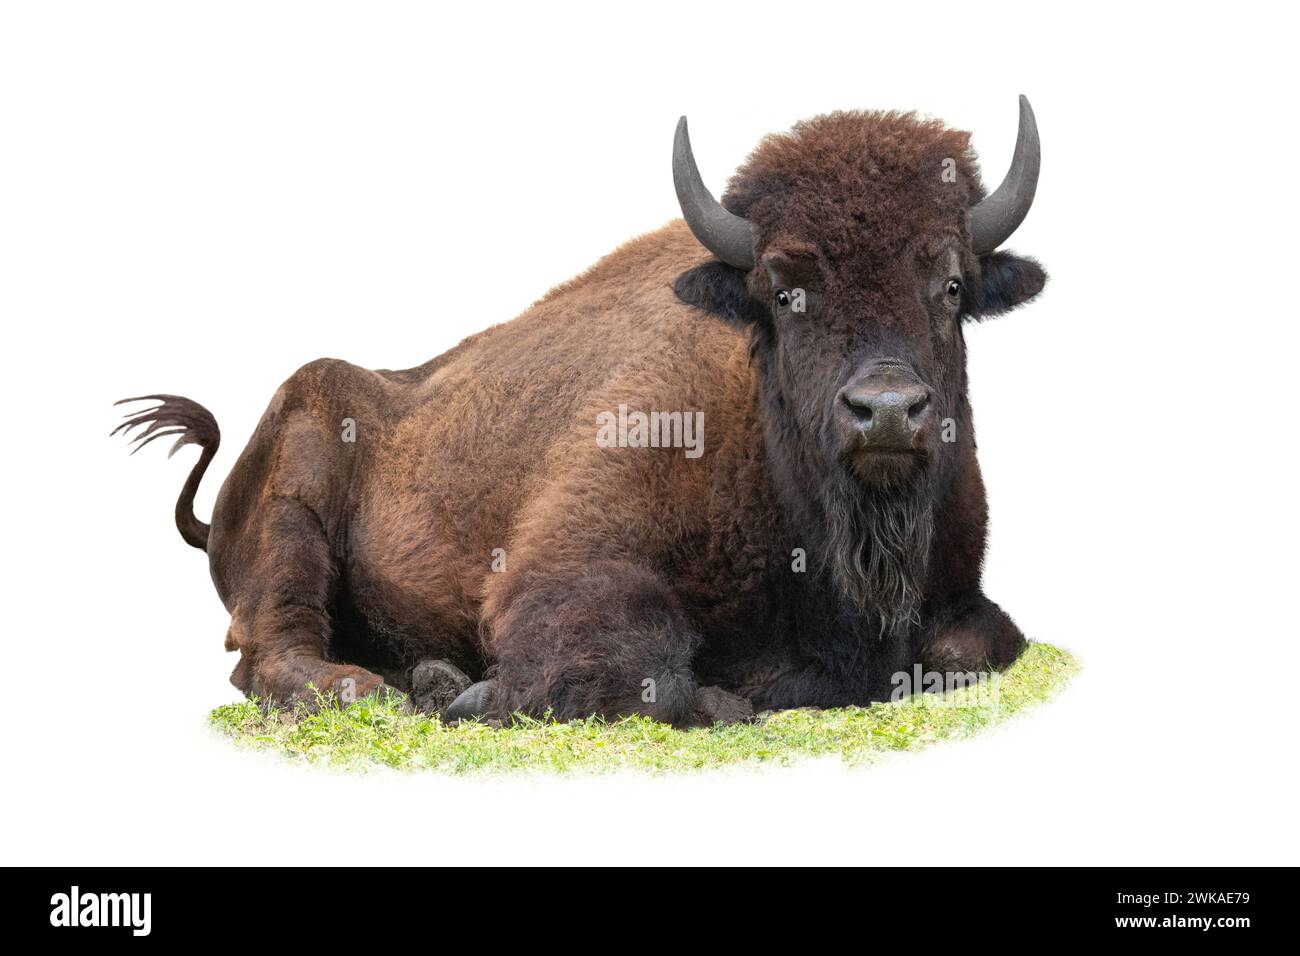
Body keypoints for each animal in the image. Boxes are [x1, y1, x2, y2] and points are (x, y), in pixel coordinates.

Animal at [116, 97, 1046, 726]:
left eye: (952, 284)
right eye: (784, 291)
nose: (886, 412)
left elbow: (976, 646)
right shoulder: (565, 565)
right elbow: (657, 677)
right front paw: (480, 694)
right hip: (296, 499)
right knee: (270, 648)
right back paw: (396, 689)